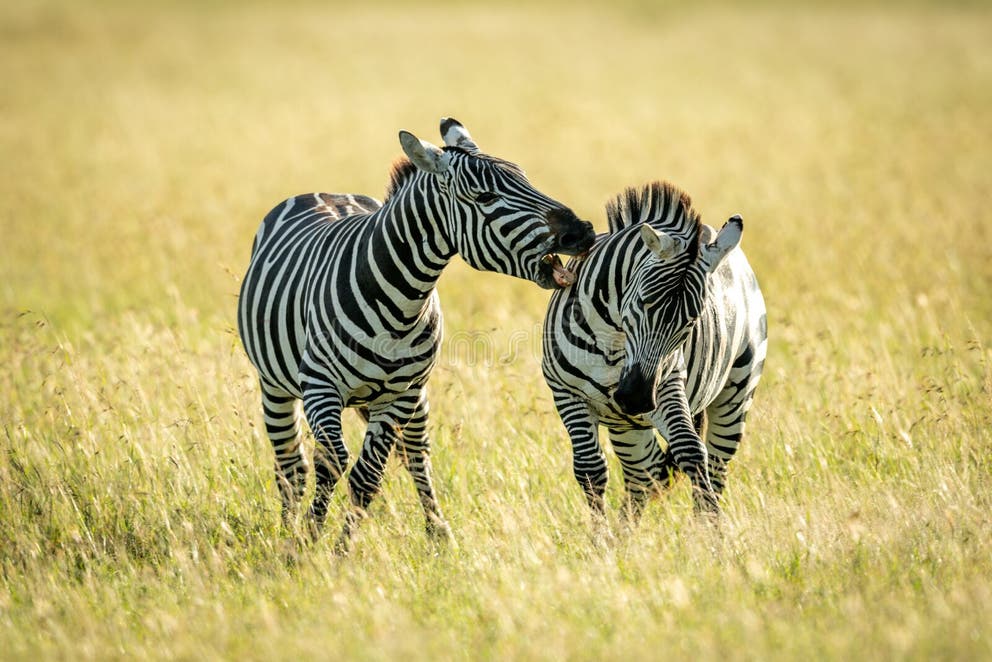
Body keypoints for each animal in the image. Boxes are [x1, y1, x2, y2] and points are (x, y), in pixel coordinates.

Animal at [238, 118, 595, 549]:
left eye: (527, 179)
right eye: (485, 196)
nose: (582, 232)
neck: (400, 299)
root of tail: (326, 192)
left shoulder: (401, 393)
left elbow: (367, 476)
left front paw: (341, 548)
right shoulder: (320, 386)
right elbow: (333, 462)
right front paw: (306, 541)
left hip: (412, 398)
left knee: (415, 455)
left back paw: (438, 532)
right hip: (275, 385)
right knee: (292, 466)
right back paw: (290, 529)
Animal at [542, 181, 767, 522]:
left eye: (691, 321)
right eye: (643, 302)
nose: (634, 397)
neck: (613, 342)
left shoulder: (668, 382)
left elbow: (692, 451)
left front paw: (712, 533)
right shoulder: (565, 392)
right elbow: (590, 469)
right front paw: (600, 536)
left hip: (736, 392)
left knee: (712, 466)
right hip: (626, 425)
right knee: (642, 474)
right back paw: (623, 533)